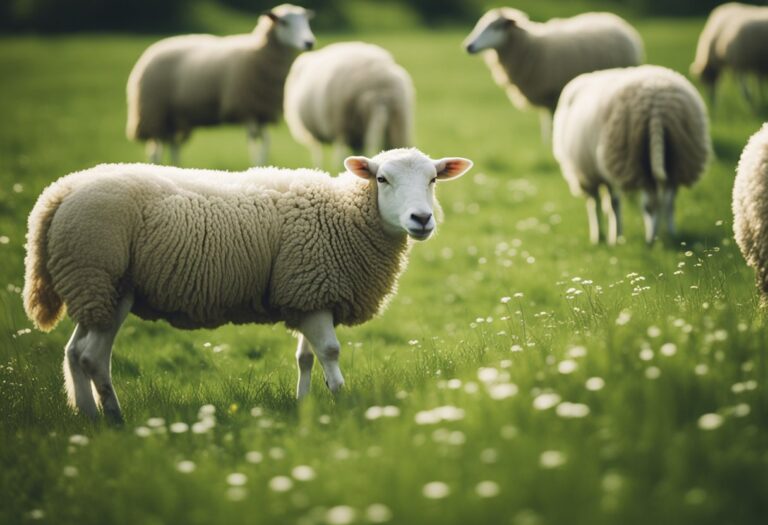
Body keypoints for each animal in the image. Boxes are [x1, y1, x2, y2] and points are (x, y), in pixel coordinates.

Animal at [22, 148, 473, 422]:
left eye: (433, 180)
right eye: (382, 179)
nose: (421, 219)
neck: (347, 214)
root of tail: (57, 194)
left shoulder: (308, 293)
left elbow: (305, 357)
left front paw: (304, 405)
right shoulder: (311, 285)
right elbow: (329, 352)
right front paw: (342, 401)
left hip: (92, 287)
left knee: (73, 352)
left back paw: (86, 417)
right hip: (103, 278)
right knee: (93, 357)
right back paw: (114, 418)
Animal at [125, 4, 315, 166]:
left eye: (306, 21)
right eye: (284, 22)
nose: (309, 42)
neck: (259, 53)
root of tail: (151, 51)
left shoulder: (261, 110)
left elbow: (266, 141)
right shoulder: (246, 109)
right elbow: (253, 140)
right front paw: (255, 166)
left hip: (174, 118)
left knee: (174, 146)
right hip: (153, 113)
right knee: (155, 151)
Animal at [463, 8, 643, 140]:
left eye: (495, 27)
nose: (469, 46)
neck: (531, 48)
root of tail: (615, 19)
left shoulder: (553, 93)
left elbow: (552, 123)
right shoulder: (546, 97)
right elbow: (546, 122)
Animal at [552, 65, 710, 245]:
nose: (654, 241)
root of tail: (656, 108)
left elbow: (611, 204)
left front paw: (613, 237)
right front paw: (611, 236)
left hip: (617, 164)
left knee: (635, 202)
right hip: (672, 161)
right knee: (664, 201)